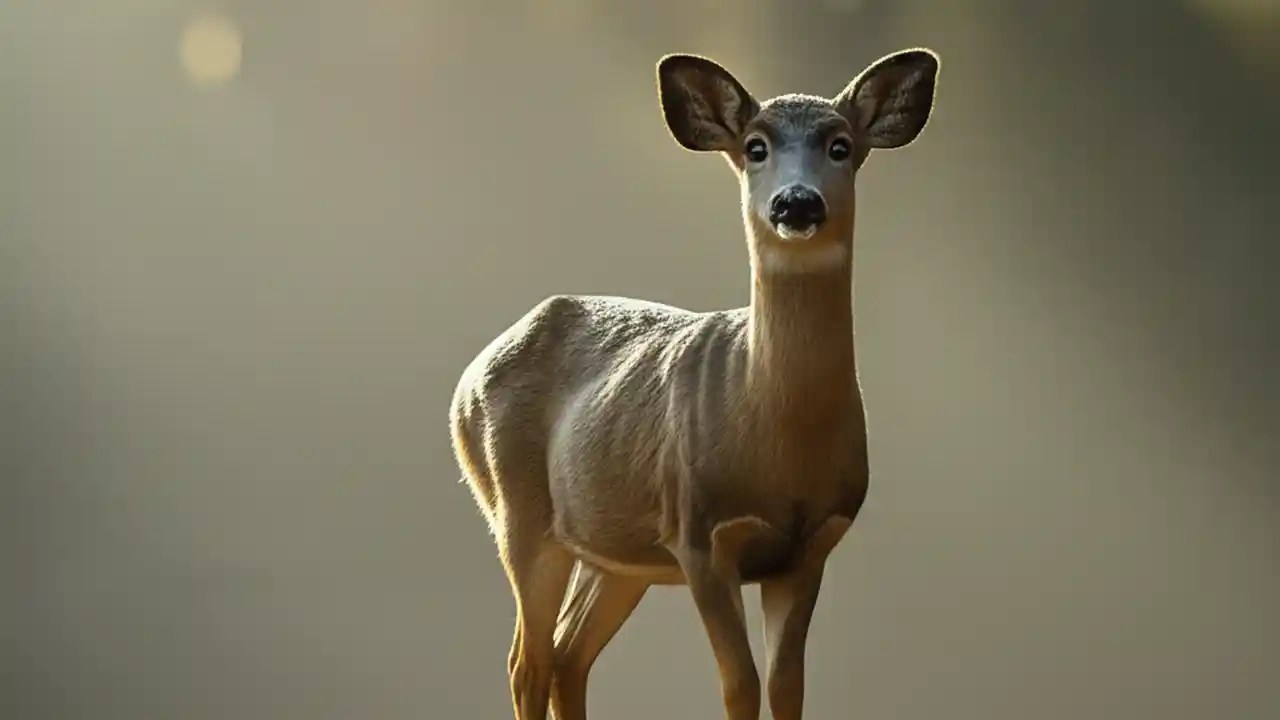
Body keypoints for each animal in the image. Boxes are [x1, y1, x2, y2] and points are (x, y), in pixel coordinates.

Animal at [448, 47, 940, 720]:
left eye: (841, 145)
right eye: (756, 147)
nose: (796, 203)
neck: (776, 441)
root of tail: (467, 380)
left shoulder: (809, 549)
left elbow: (787, 686)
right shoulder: (700, 534)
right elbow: (740, 684)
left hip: (615, 556)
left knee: (568, 658)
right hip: (518, 513)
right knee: (528, 662)